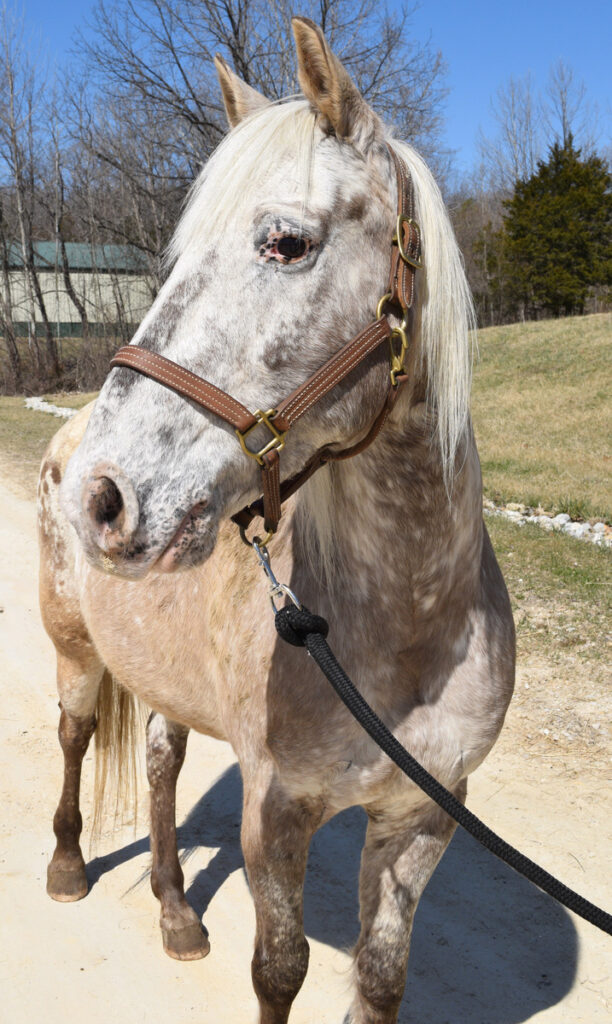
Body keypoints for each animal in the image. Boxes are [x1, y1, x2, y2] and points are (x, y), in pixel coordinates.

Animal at [37, 18, 515, 1024]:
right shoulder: (277, 813)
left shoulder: (422, 818)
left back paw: (176, 911)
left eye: (287, 243)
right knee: (73, 739)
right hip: (75, 652)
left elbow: (381, 978)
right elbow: (280, 971)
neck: (407, 628)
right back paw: (66, 866)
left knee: (161, 764)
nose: (101, 495)